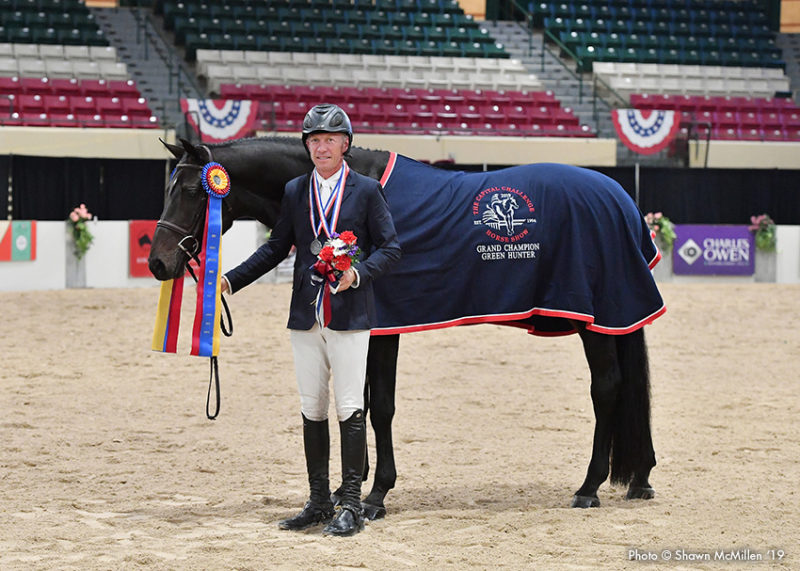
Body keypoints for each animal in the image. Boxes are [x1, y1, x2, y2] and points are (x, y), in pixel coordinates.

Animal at [148, 136, 664, 517]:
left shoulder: (383, 331)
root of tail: (619, 197)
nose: (157, 263)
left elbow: (380, 408)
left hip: (595, 322)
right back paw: (639, 478)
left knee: (607, 389)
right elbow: (362, 403)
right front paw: (348, 488)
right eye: (168, 189)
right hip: (613, 320)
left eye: (193, 192)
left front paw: (375, 495)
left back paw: (589, 486)